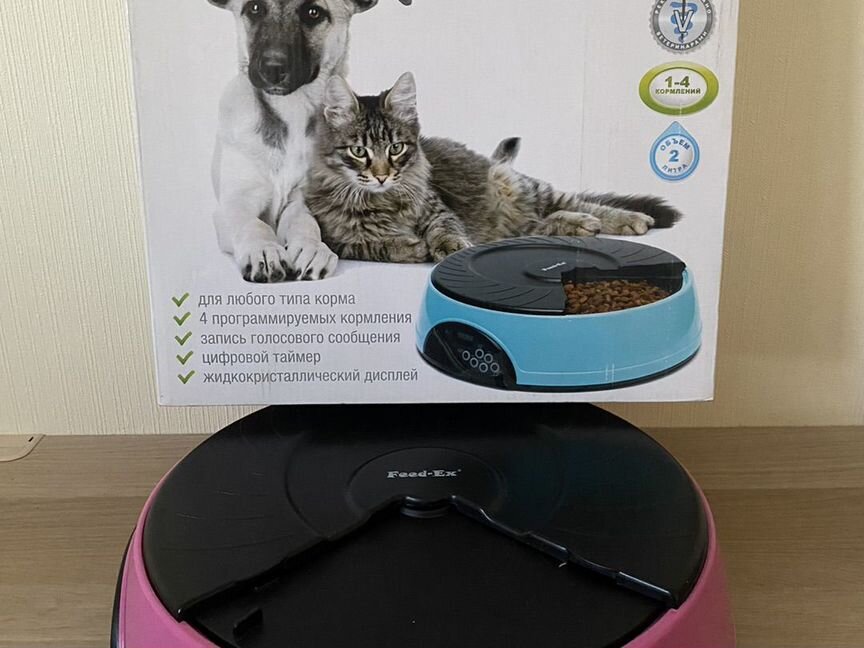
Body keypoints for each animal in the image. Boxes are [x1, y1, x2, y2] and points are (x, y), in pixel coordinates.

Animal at [206, 0, 411, 282]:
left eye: (314, 12)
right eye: (254, 8)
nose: (272, 69)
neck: (290, 111)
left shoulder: (303, 200)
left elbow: (305, 223)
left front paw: (312, 248)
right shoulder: (233, 203)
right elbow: (253, 224)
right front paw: (264, 250)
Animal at [305, 72, 681, 263]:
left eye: (396, 148)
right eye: (359, 151)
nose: (382, 176)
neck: (382, 200)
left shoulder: (437, 208)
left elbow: (445, 229)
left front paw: (449, 247)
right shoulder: (338, 241)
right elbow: (375, 244)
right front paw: (410, 247)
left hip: (527, 189)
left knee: (581, 202)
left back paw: (629, 219)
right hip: (519, 220)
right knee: (542, 224)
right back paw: (579, 226)